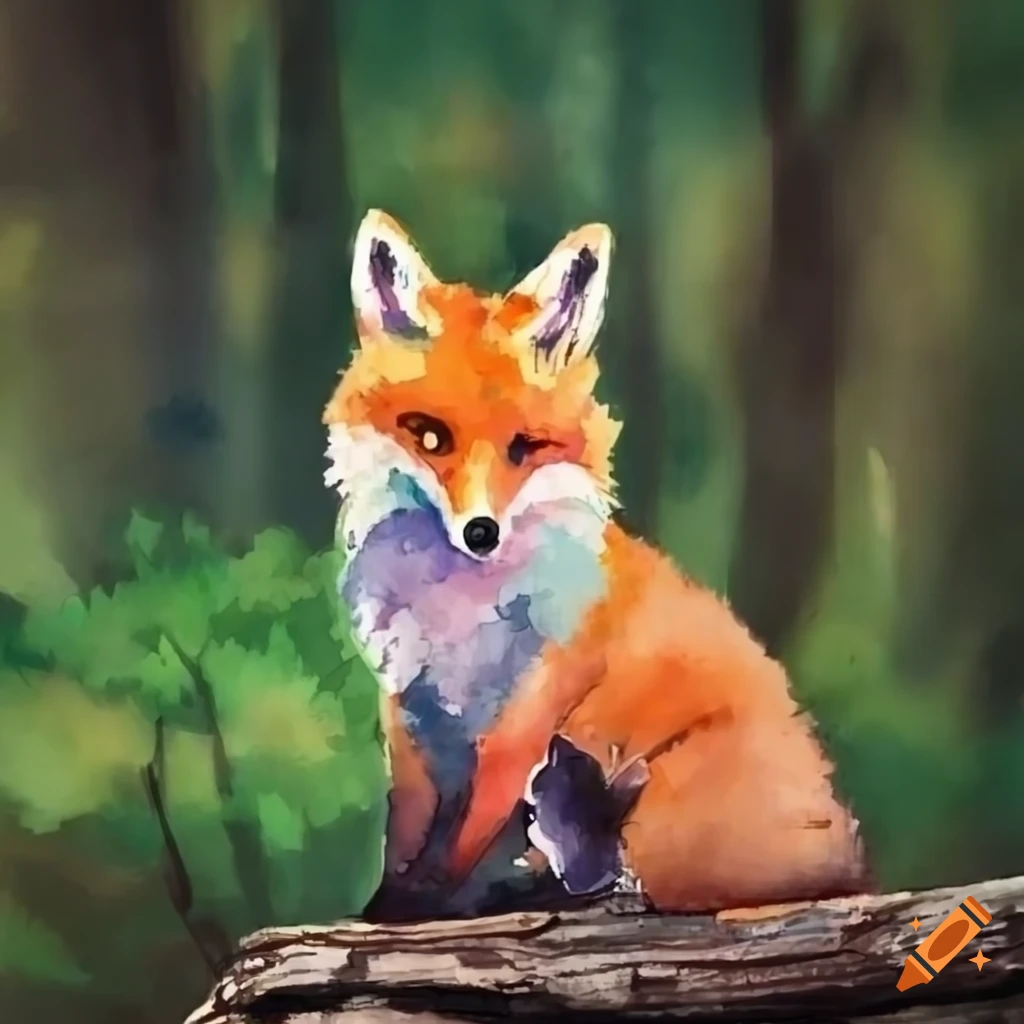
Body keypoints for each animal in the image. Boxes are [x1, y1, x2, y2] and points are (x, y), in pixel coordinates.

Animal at [323, 208, 871, 921]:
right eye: (430, 437)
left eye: (524, 448)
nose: (480, 532)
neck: (462, 616)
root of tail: (849, 856)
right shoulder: (412, 716)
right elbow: (406, 833)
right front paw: (387, 904)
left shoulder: (525, 724)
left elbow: (463, 840)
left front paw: (427, 904)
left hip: (650, 808)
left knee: (651, 882)